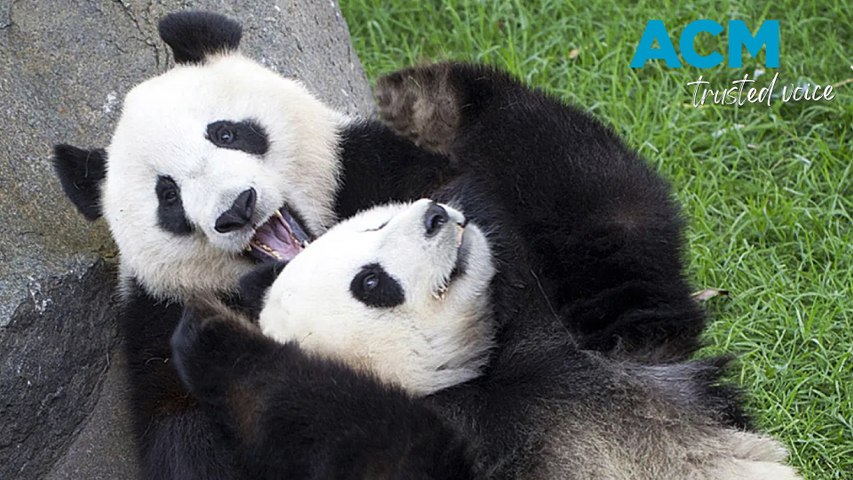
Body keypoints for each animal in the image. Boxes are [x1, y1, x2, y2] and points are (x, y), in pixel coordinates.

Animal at [53, 10, 707, 478]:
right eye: (167, 196)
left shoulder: (383, 168)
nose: (236, 209)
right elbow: (196, 440)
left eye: (227, 133)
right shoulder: (154, 330)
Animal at [170, 197, 801, 480]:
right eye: (371, 283)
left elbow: (619, 249)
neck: (476, 375)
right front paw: (209, 333)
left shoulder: (590, 345)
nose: (434, 214)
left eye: (376, 219)